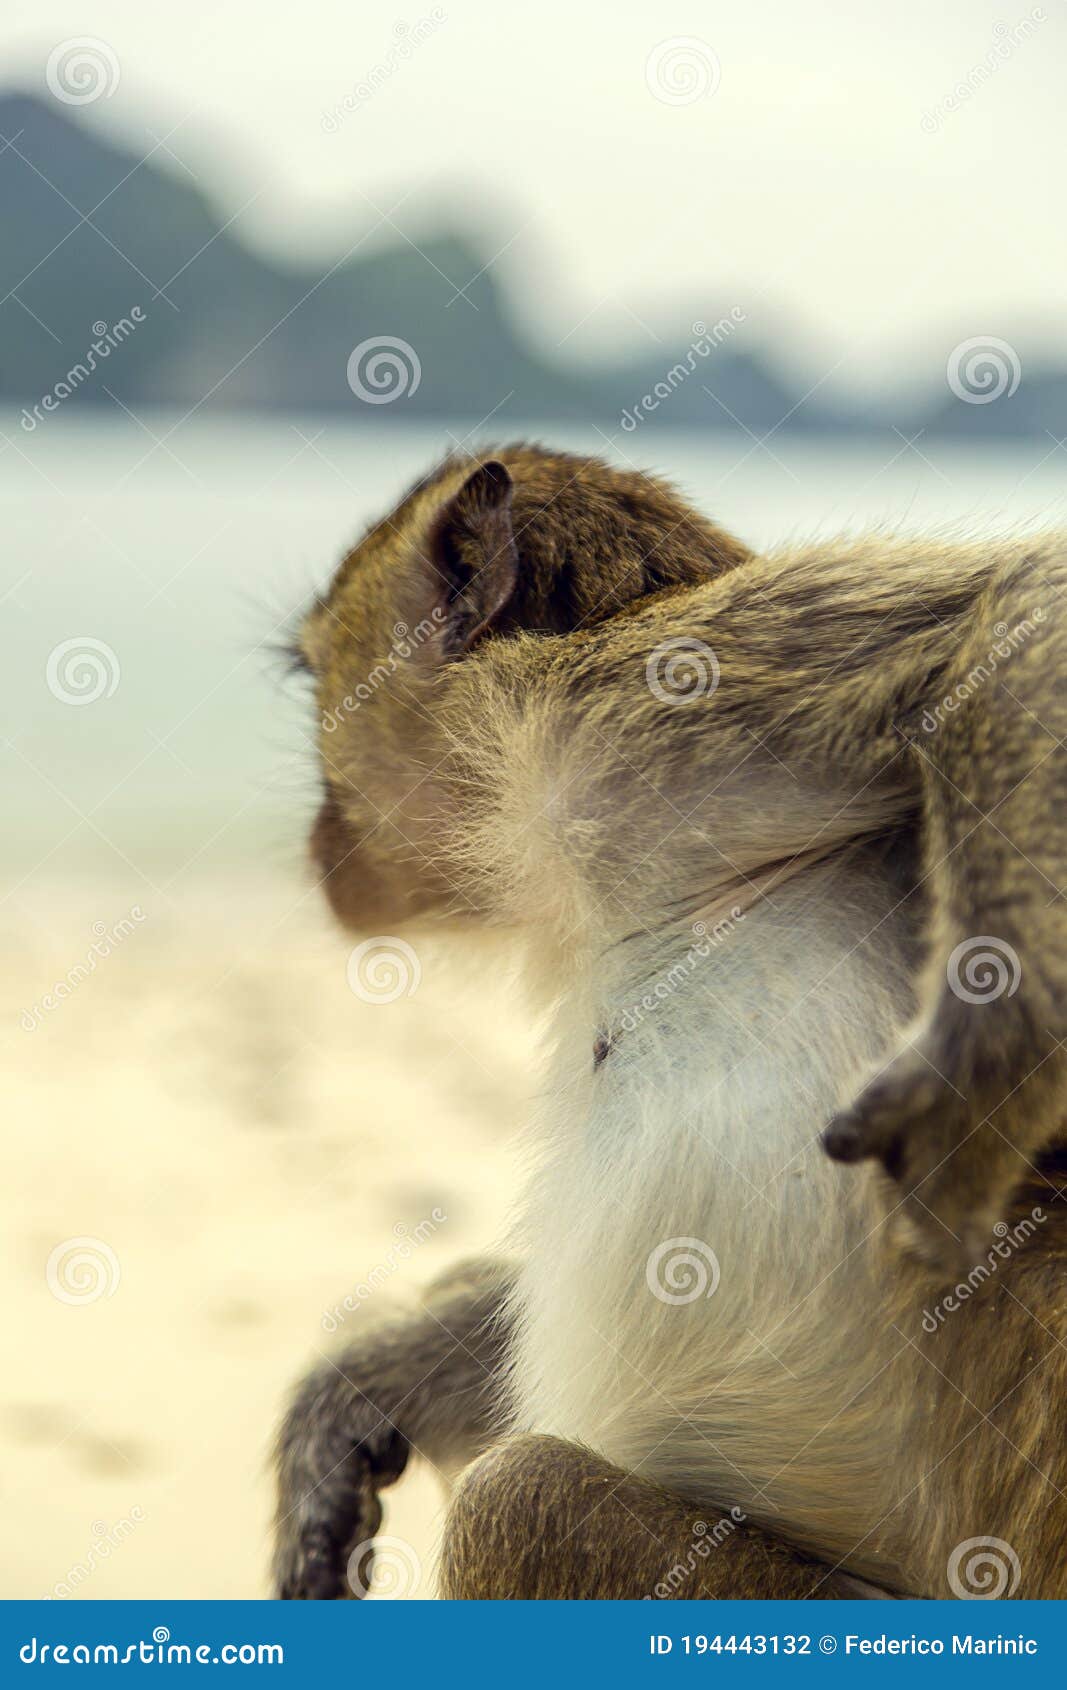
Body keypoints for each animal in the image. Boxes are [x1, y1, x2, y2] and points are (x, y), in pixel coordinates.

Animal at [273, 443, 1067, 1601]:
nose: (319, 836)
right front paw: (365, 1386)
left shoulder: (632, 715)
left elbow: (1016, 608)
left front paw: (988, 1039)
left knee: (513, 1501)